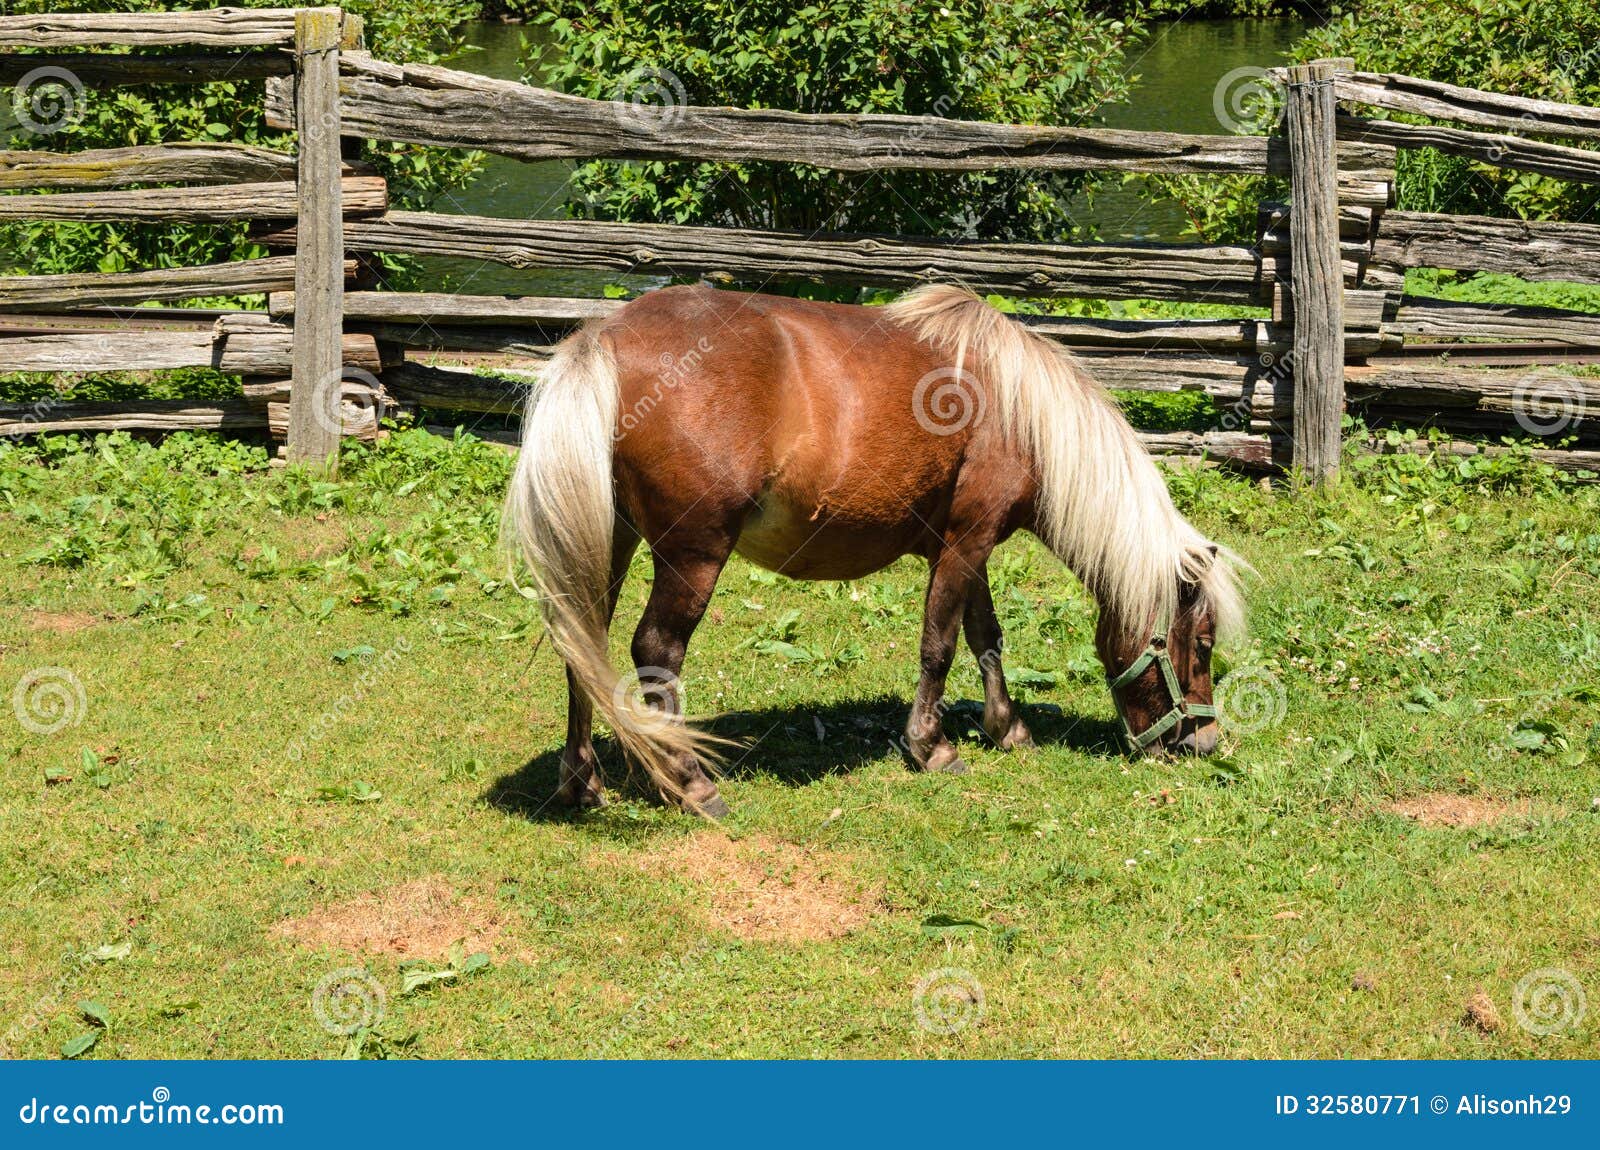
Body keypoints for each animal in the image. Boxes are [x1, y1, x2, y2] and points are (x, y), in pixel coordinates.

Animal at [502, 283, 1245, 817]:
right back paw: (689, 782)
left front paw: (1006, 727)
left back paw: (583, 781)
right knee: (655, 650)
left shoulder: (963, 546)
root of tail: (604, 339)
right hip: (693, 556)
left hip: (613, 542)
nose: (1204, 742)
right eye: (1203, 644)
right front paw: (930, 747)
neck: (1018, 410)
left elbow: (986, 638)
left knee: (584, 640)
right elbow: (940, 645)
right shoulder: (967, 543)